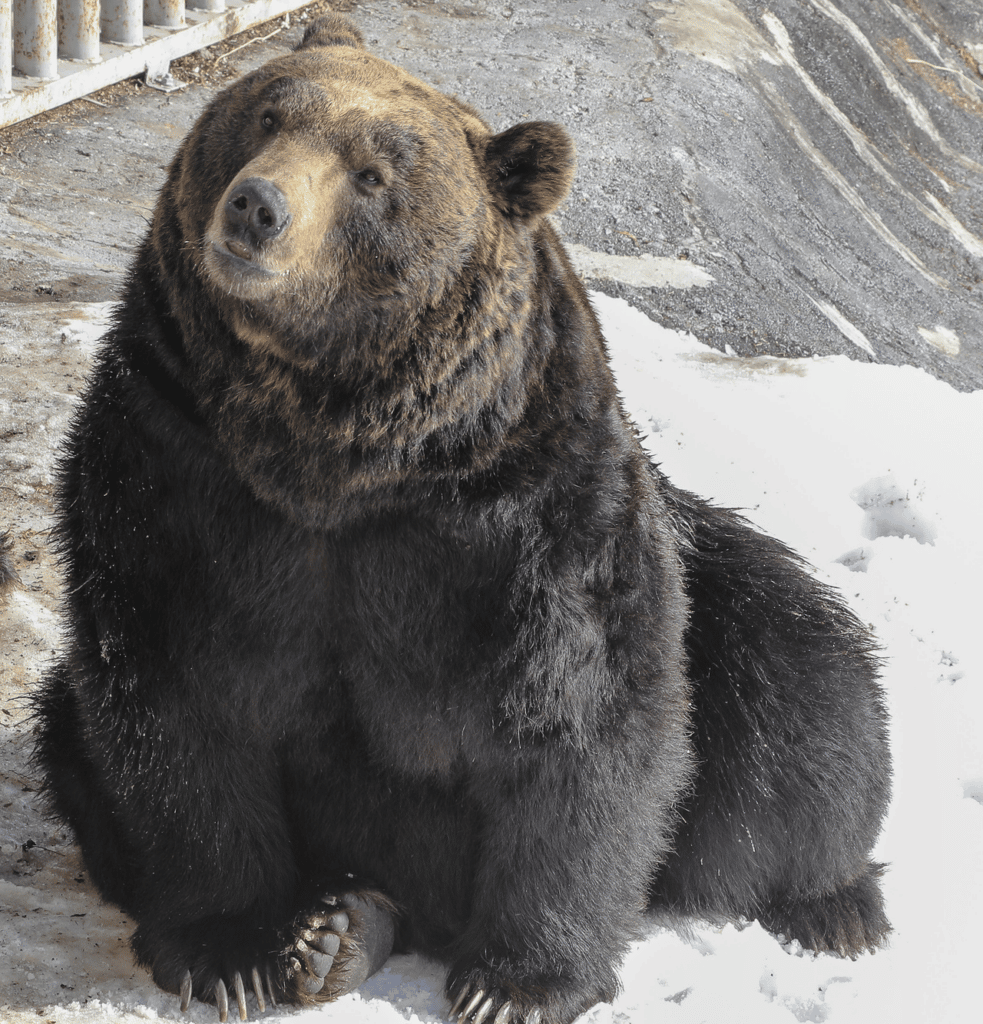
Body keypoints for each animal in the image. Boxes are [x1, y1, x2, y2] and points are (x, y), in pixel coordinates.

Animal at [32, 15, 891, 1024]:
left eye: (373, 174)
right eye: (267, 115)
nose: (255, 208)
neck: (339, 453)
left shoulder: (527, 518)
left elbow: (581, 716)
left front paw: (513, 984)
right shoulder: (176, 467)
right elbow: (172, 696)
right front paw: (234, 951)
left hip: (720, 602)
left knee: (801, 691)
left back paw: (834, 903)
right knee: (67, 733)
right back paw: (340, 931)